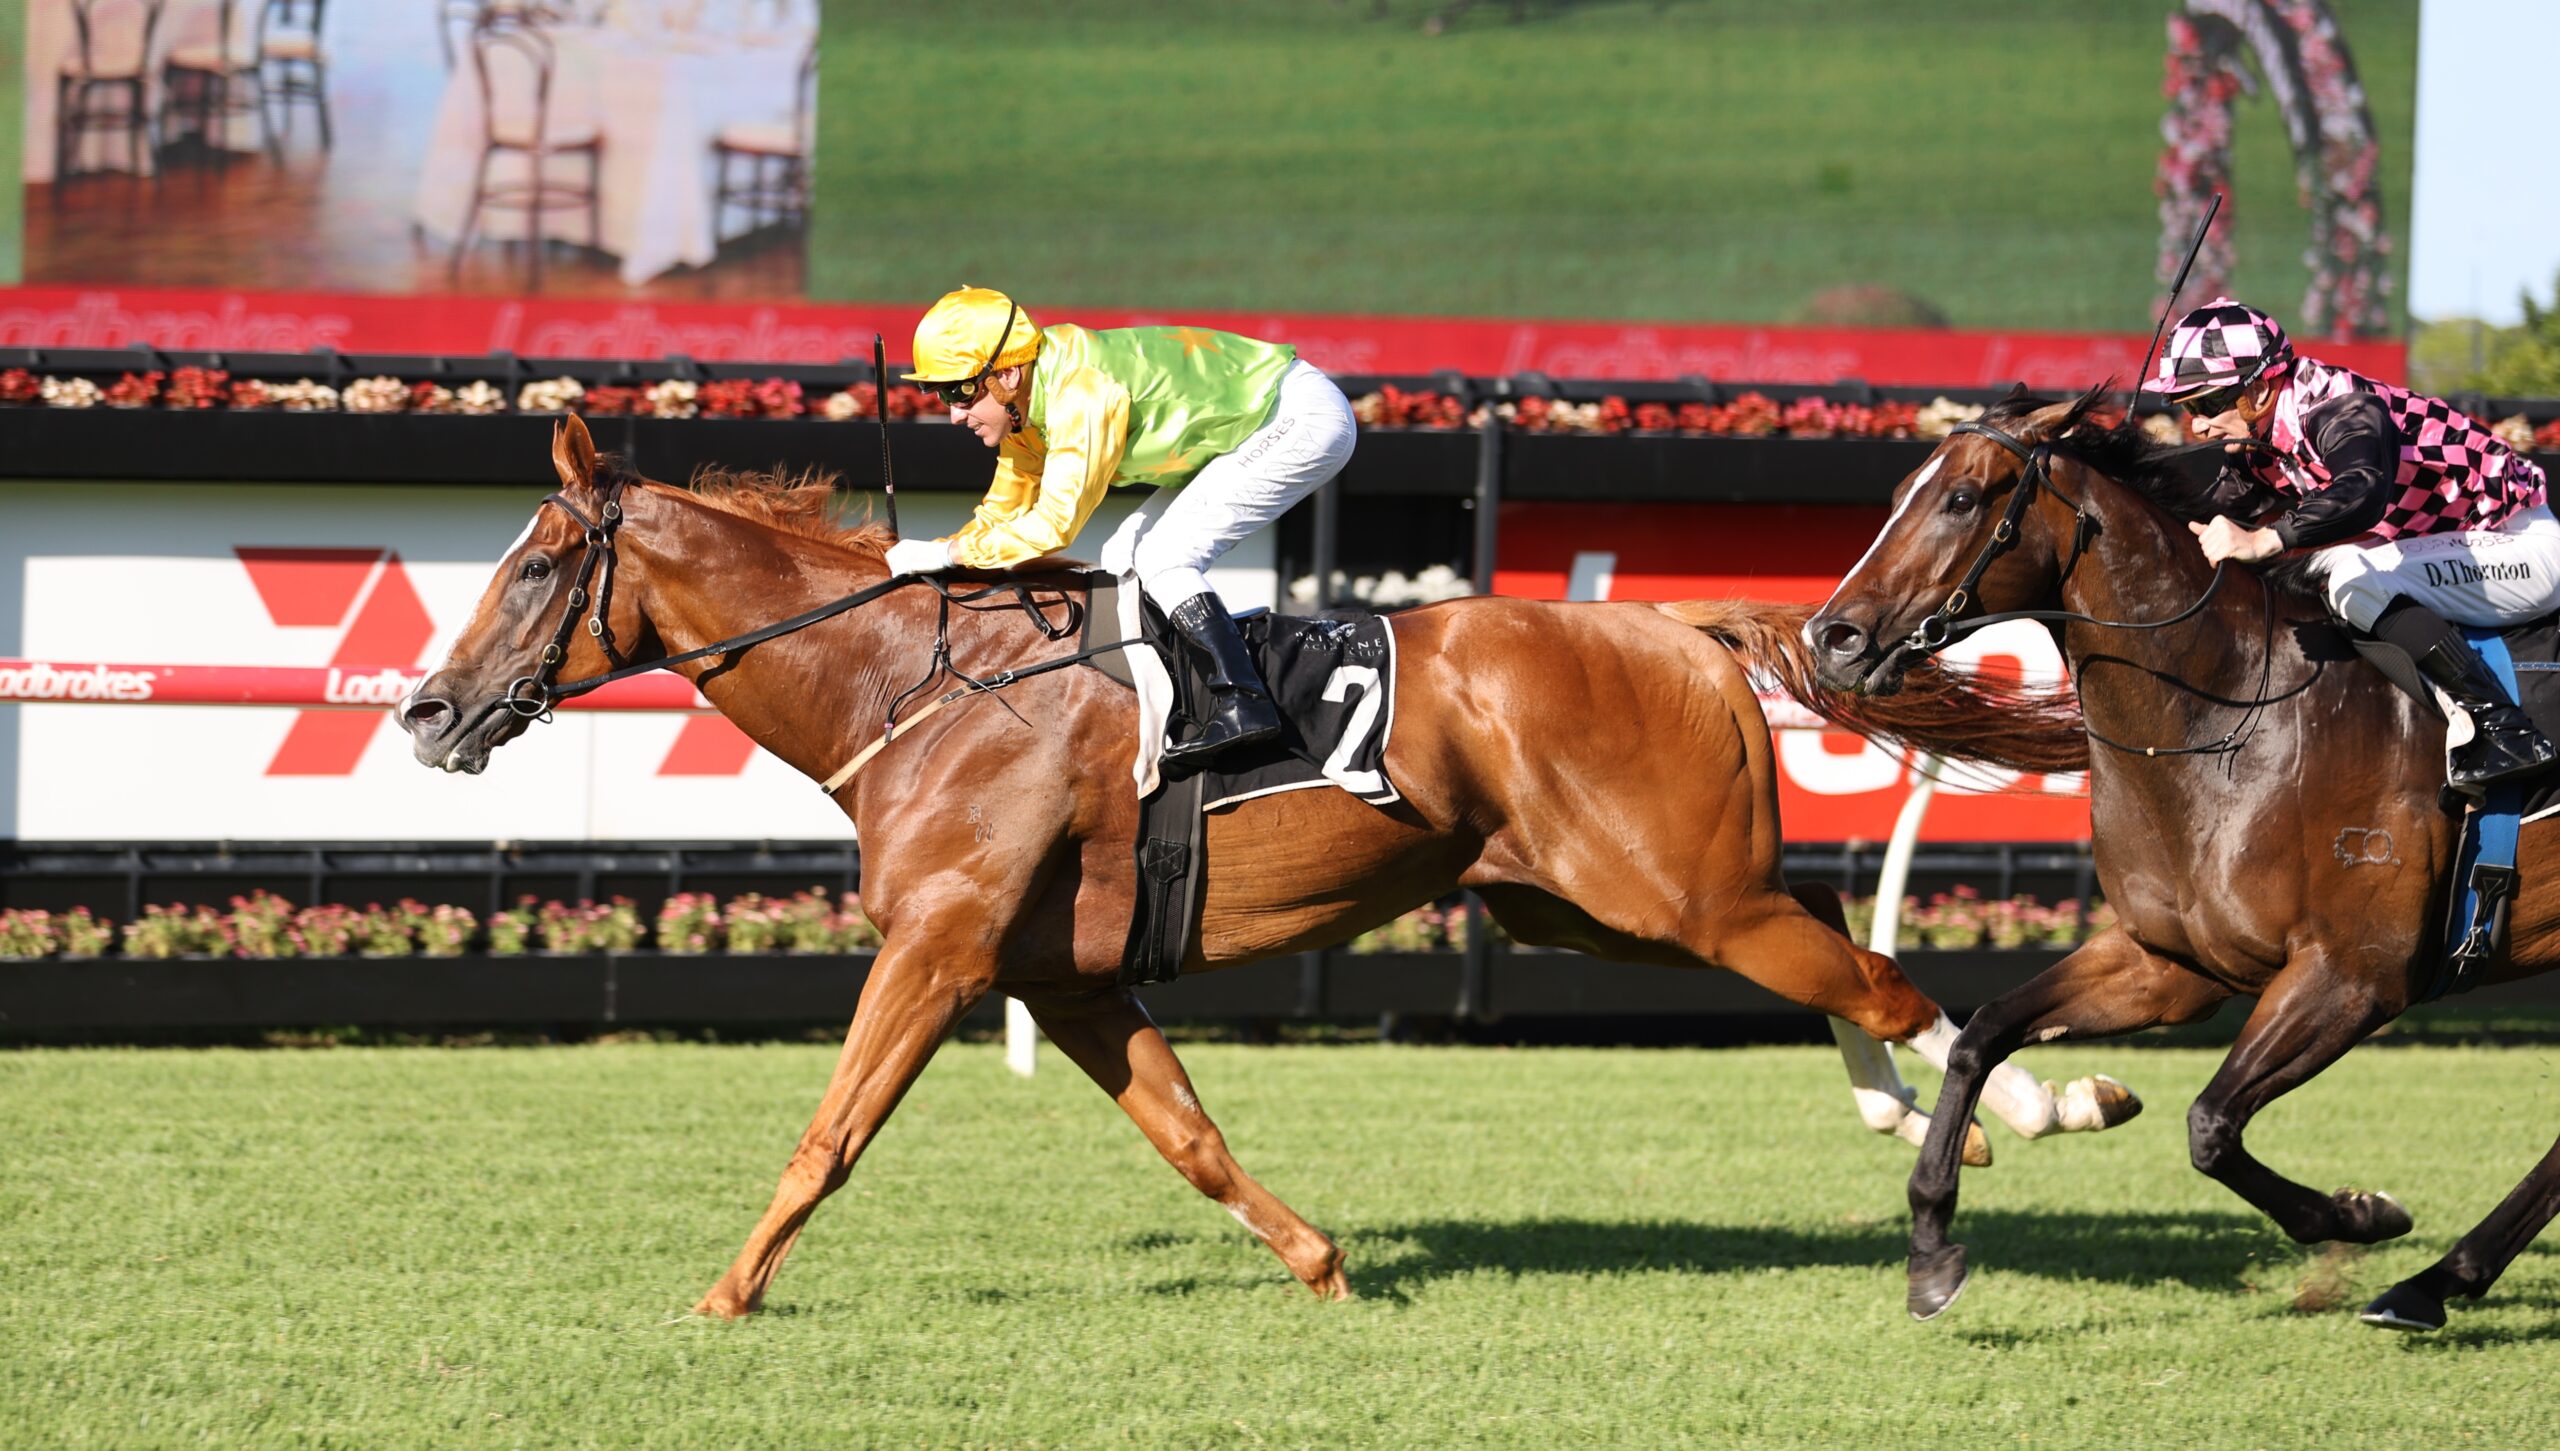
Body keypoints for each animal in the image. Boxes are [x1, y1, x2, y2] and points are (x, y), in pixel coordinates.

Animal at [399, 414, 2119, 1318]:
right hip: (1589, 899)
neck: (919, 684)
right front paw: (1322, 1260)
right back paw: (1922, 1106)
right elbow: (1192, 1137)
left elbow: (830, 1132)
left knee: (1875, 970)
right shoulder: (1065, 976)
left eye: (536, 565)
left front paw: (730, 1291)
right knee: (1832, 934)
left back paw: (2043, 1103)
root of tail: (1678, 625)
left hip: (1670, 891)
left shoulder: (941, 946)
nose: (425, 707)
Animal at [1805, 384, 2560, 1331]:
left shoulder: (2356, 974)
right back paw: (2438, 1280)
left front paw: (2361, 1212)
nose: (1831, 635)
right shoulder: (2171, 961)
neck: (2233, 714)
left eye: (1963, 498)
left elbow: (2209, 1124)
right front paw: (1932, 1247)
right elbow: (1981, 1035)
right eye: (1902, 489)